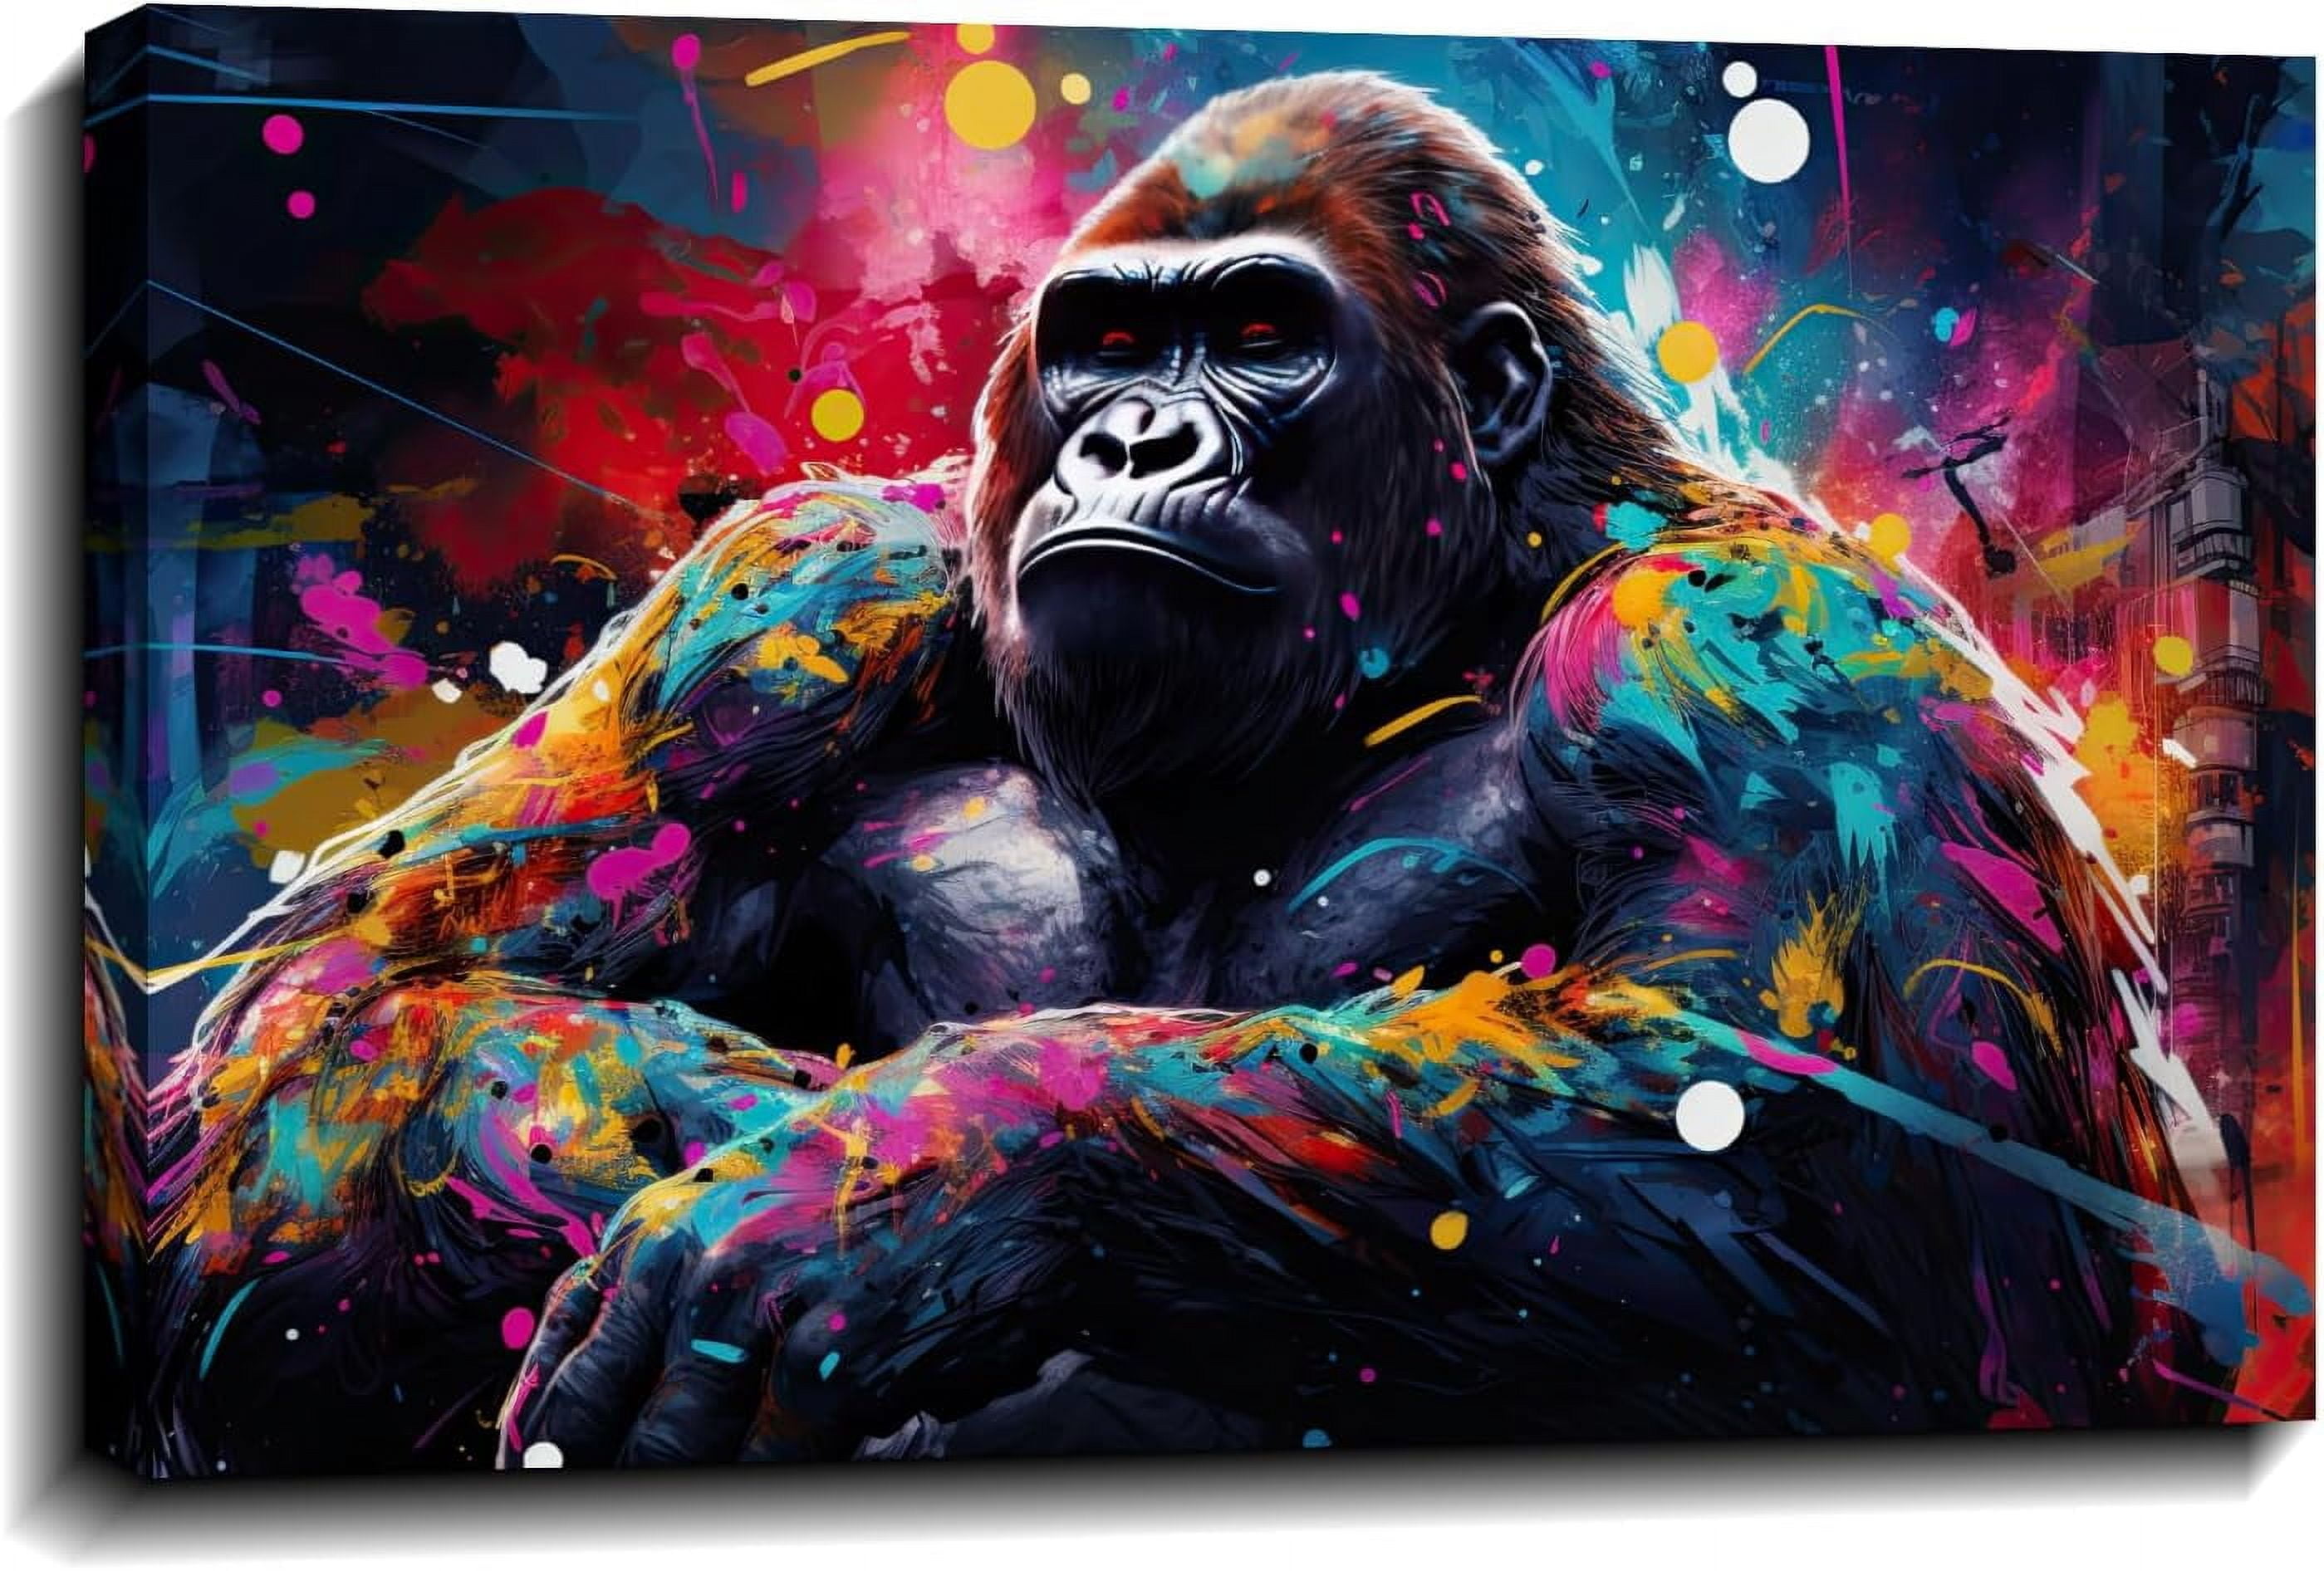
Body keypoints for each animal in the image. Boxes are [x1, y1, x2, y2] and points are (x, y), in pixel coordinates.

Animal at [135, 72, 2296, 1474]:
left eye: (1261, 331)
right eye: (1102, 343)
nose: (1130, 443)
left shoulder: (1770, 651)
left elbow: (1852, 1190)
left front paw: (903, 1182)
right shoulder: (776, 605)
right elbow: (329, 1030)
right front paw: (707, 1125)